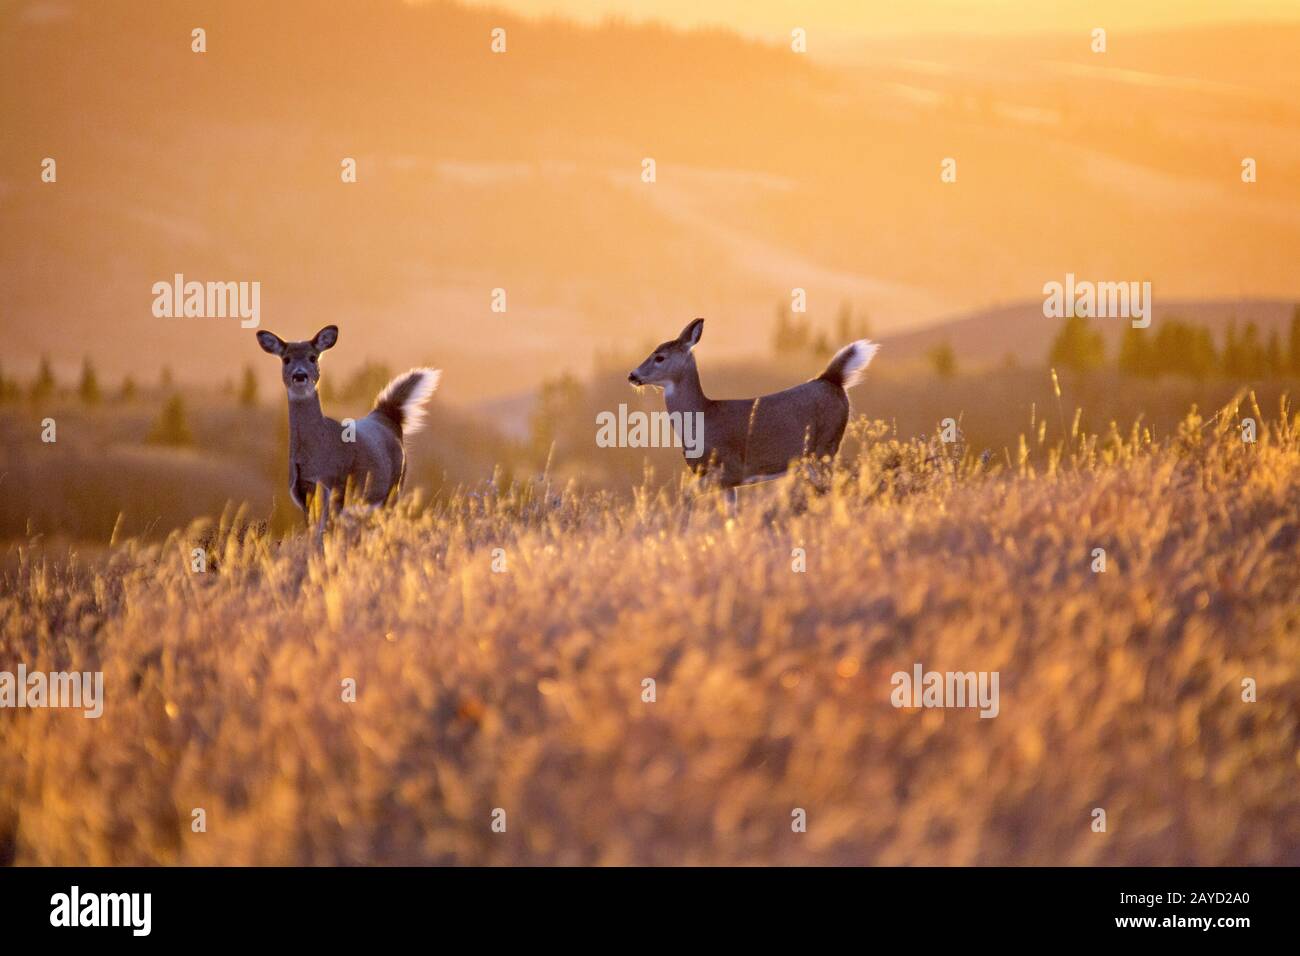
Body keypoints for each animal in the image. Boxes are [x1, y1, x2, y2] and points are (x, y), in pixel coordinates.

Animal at [255, 325, 439, 533]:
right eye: (286, 359)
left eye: (313, 357)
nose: (300, 375)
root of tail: (386, 414)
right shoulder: (302, 495)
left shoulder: (336, 488)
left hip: (394, 486)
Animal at [627, 318, 878, 512]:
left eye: (660, 357)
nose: (632, 375)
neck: (704, 417)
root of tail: (832, 378)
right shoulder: (727, 483)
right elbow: (731, 515)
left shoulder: (731, 469)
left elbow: (686, 495)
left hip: (825, 446)